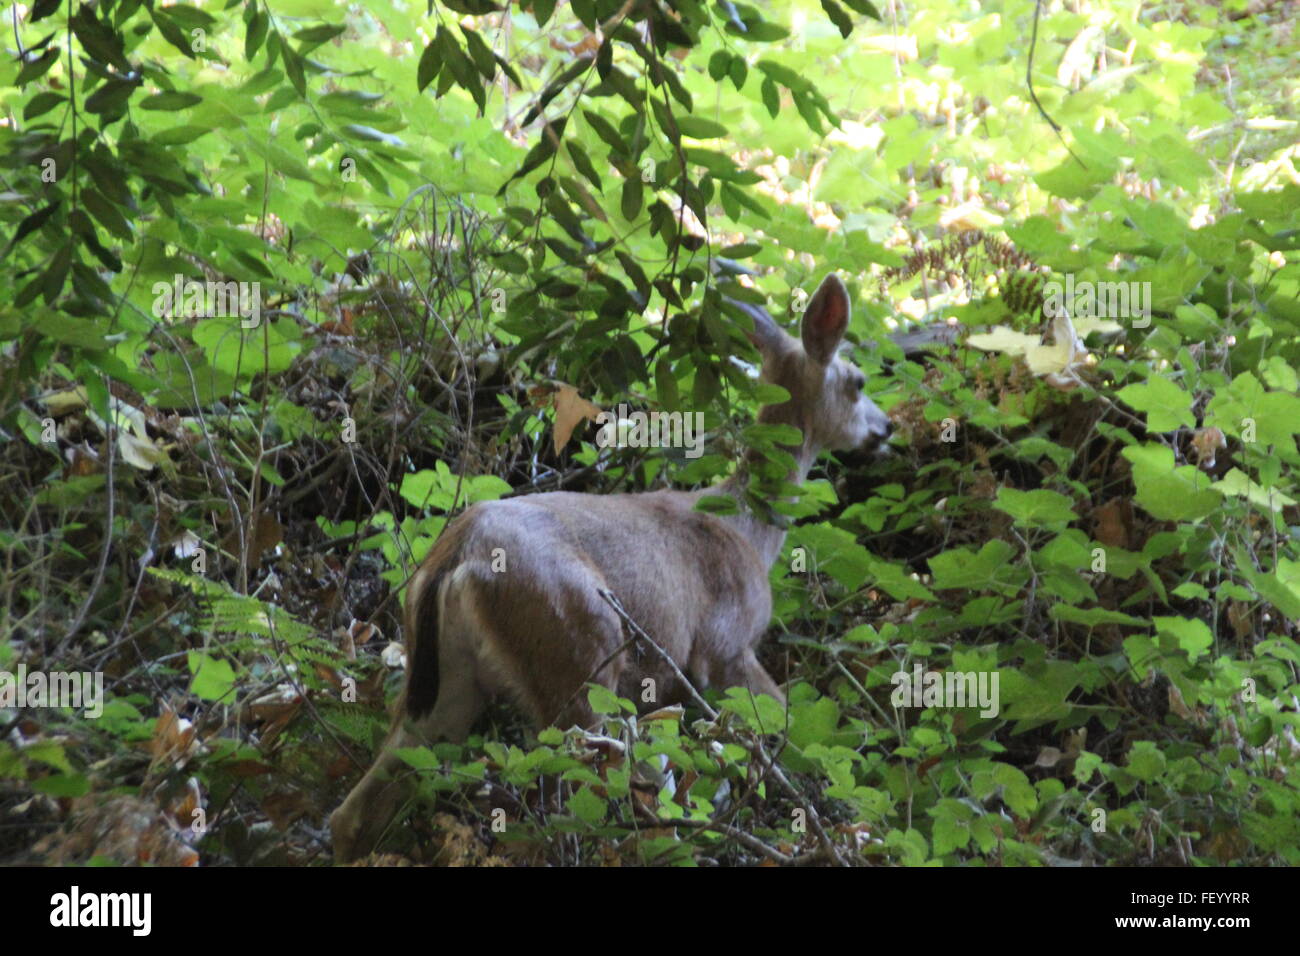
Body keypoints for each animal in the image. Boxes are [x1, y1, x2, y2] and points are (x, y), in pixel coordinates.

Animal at [329, 273, 892, 862]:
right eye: (857, 381)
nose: (887, 427)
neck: (749, 531)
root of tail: (458, 554)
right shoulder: (723, 647)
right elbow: (786, 724)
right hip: (577, 649)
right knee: (567, 806)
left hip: (446, 684)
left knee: (358, 808)